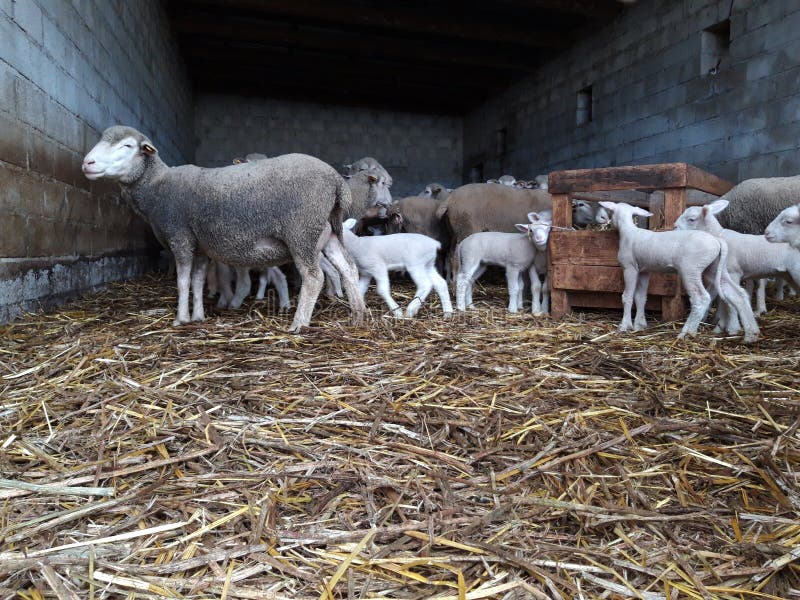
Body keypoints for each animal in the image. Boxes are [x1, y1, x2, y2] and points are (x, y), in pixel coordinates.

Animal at [82, 125, 365, 332]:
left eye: (127, 145)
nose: (87, 163)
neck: (156, 187)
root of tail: (337, 182)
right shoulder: (200, 246)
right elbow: (197, 281)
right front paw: (197, 316)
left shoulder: (180, 236)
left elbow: (183, 281)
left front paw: (180, 318)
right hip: (327, 232)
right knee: (348, 268)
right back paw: (359, 315)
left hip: (302, 232)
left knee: (314, 277)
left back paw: (299, 324)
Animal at [599, 201, 759, 343]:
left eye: (611, 212)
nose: (607, 222)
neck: (629, 232)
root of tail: (717, 240)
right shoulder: (645, 270)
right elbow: (641, 297)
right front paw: (640, 324)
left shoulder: (629, 267)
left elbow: (628, 296)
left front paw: (625, 325)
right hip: (715, 268)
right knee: (737, 294)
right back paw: (751, 334)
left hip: (691, 269)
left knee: (701, 298)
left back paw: (686, 333)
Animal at [675, 200, 800, 328]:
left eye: (691, 219)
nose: (674, 226)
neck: (718, 235)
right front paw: (718, 320)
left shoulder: (733, 273)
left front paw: (728, 325)